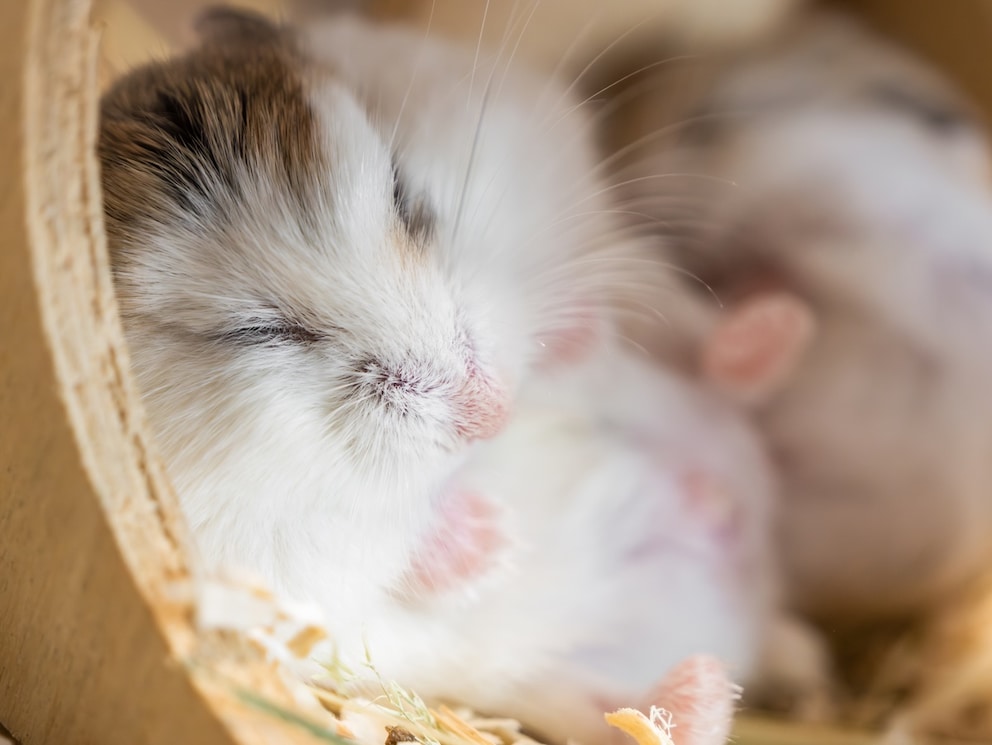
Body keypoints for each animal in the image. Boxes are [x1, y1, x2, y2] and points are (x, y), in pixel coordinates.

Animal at [342, 341, 830, 744]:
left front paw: (493, 535)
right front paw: (494, 540)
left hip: (647, 397)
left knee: (718, 391)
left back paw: (771, 331)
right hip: (553, 683)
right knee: (624, 721)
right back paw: (705, 692)